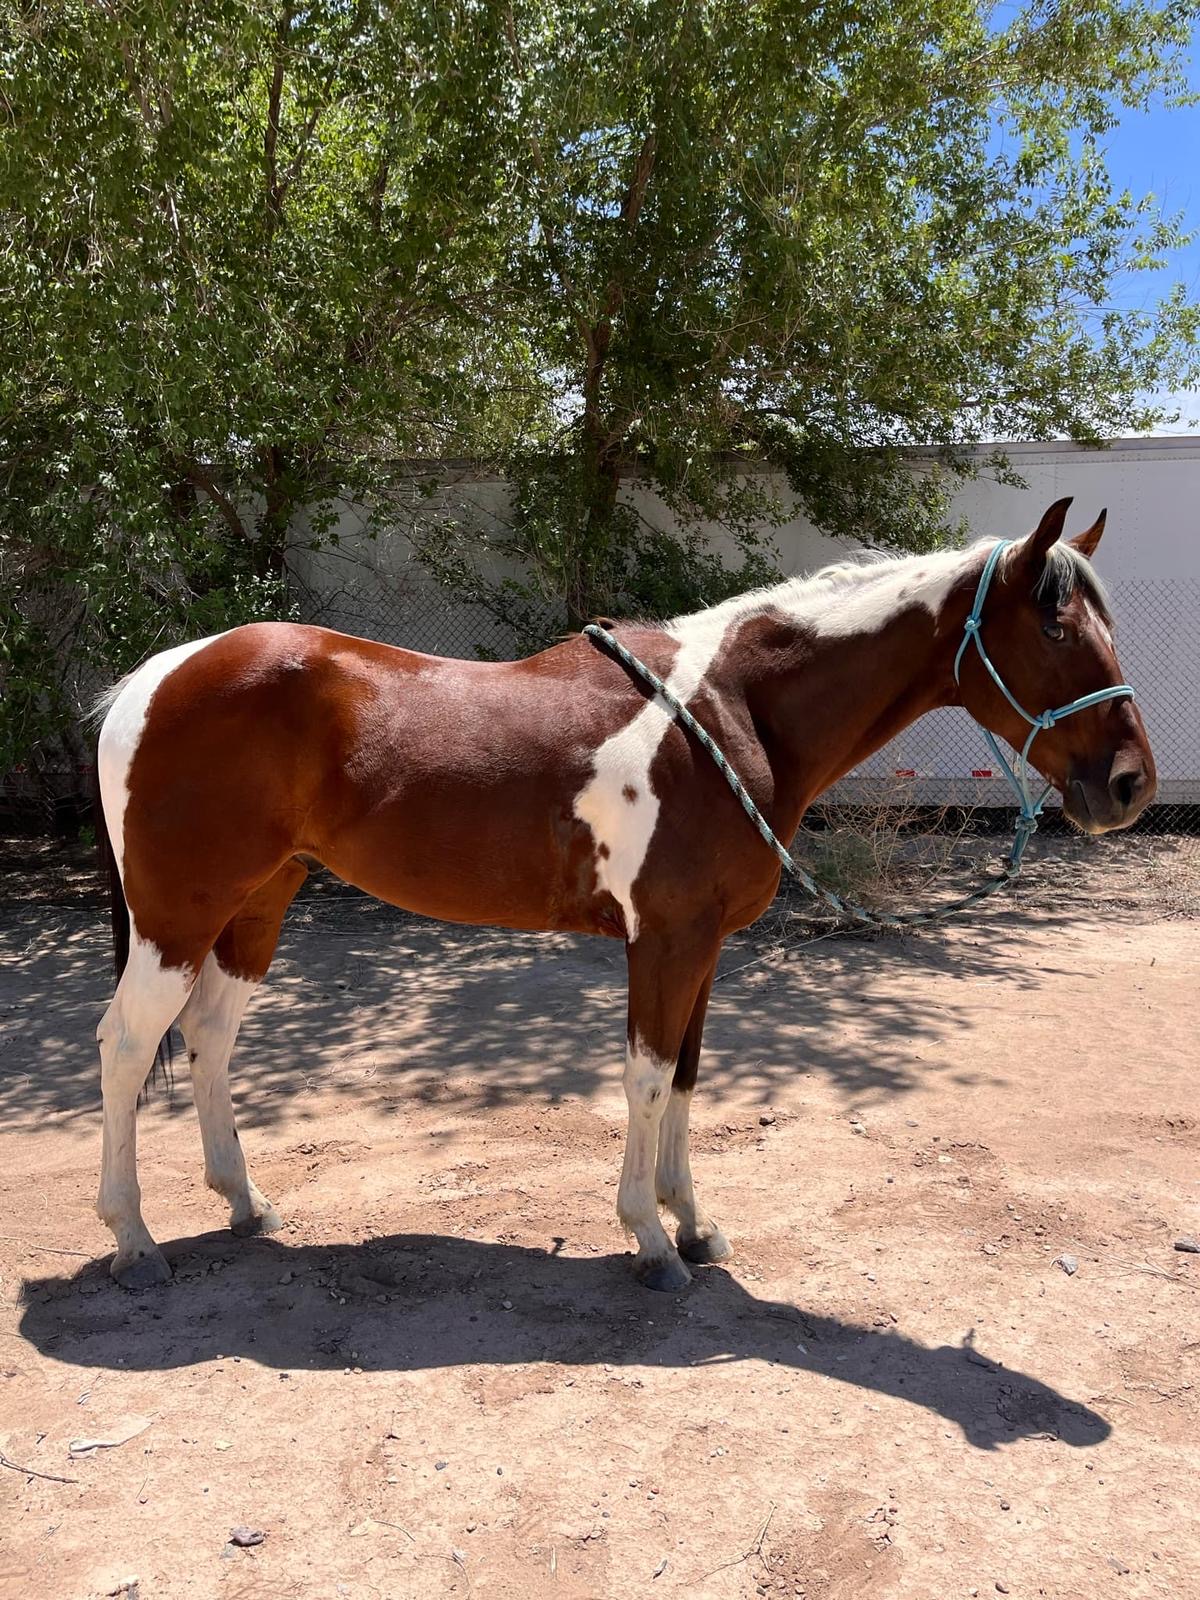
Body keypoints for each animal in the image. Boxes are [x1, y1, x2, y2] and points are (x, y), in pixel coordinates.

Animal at [92, 496, 1154, 1291]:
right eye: (1055, 625)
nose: (1131, 785)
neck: (729, 714)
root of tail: (155, 677)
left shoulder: (707, 944)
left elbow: (686, 1072)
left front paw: (694, 1224)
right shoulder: (667, 939)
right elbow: (646, 1076)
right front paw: (648, 1238)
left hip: (256, 906)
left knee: (210, 1038)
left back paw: (245, 1204)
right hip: (178, 918)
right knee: (128, 1045)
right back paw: (133, 1240)